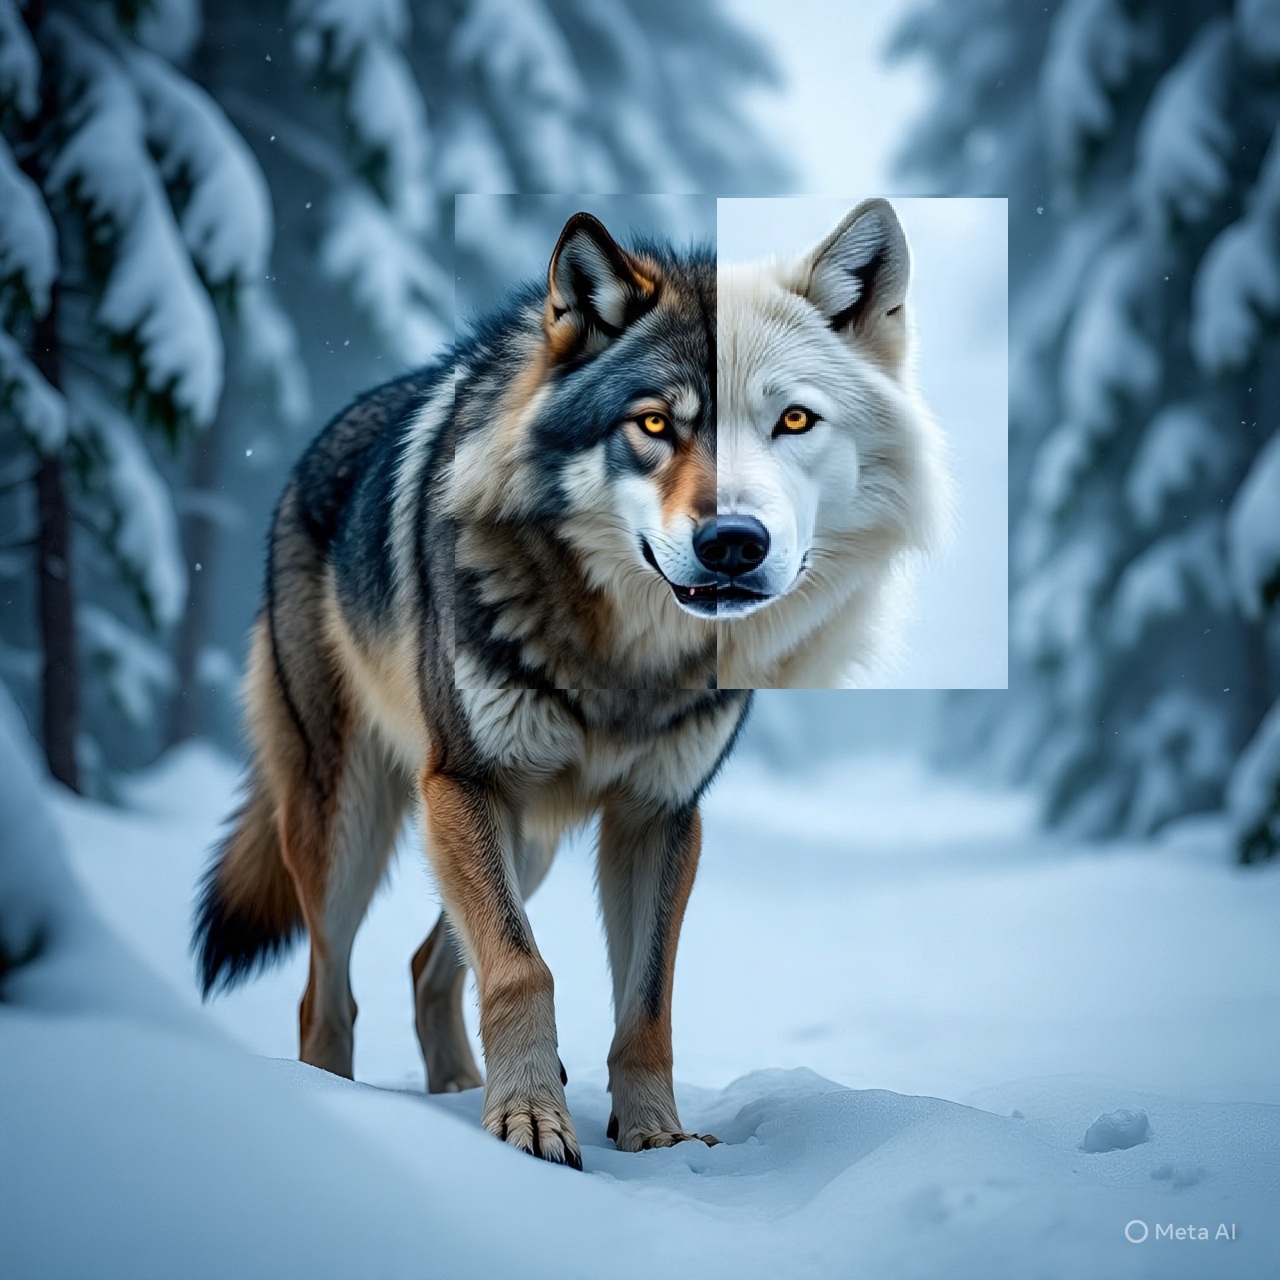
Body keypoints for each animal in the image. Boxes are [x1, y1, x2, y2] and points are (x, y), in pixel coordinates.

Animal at [195, 212, 750, 1169]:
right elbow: (525, 966)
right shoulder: (465, 778)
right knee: (325, 997)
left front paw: (655, 1137)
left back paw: (457, 1091)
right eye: (652, 424)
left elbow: (645, 1005)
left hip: (523, 840)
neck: (620, 659)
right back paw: (339, 1108)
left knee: (430, 964)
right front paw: (528, 1122)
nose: (736, 544)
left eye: (788, 427)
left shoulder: (659, 816)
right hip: (356, 826)